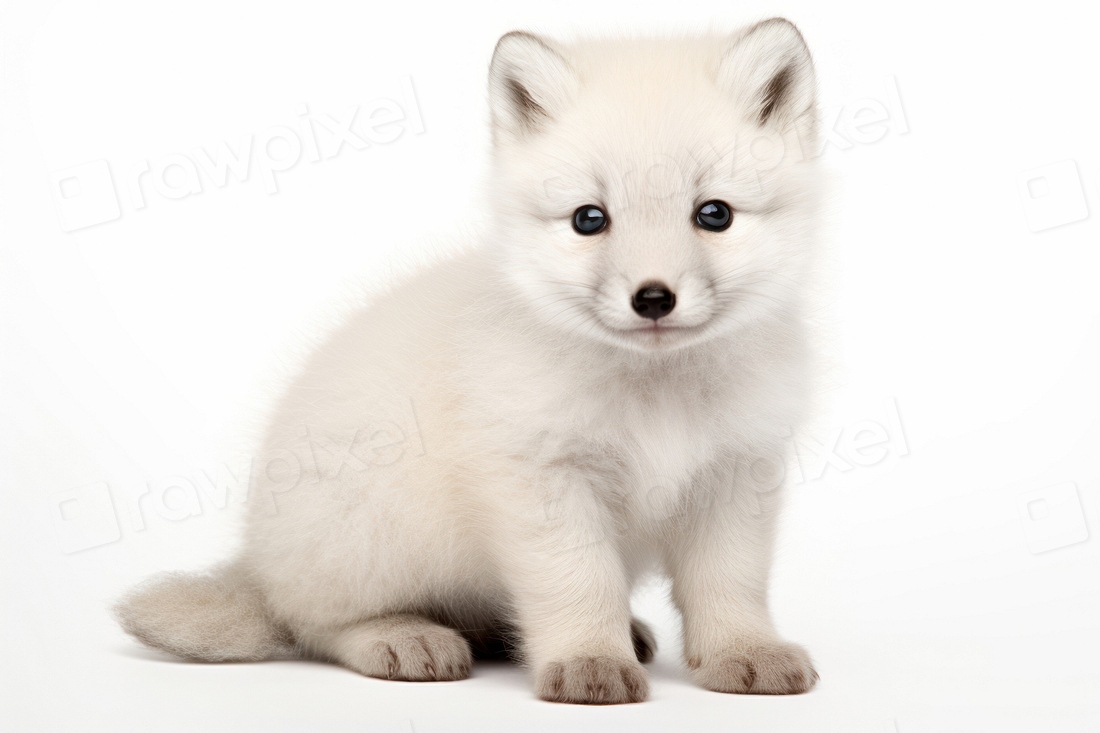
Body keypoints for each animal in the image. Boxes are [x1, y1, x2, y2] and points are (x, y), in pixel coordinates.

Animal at [115, 18, 824, 705]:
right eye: (589, 219)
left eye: (714, 214)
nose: (653, 299)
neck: (655, 396)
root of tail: (256, 563)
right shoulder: (542, 481)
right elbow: (578, 581)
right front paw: (588, 660)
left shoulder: (733, 477)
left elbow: (729, 585)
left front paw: (744, 653)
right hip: (372, 539)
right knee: (313, 624)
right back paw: (403, 638)